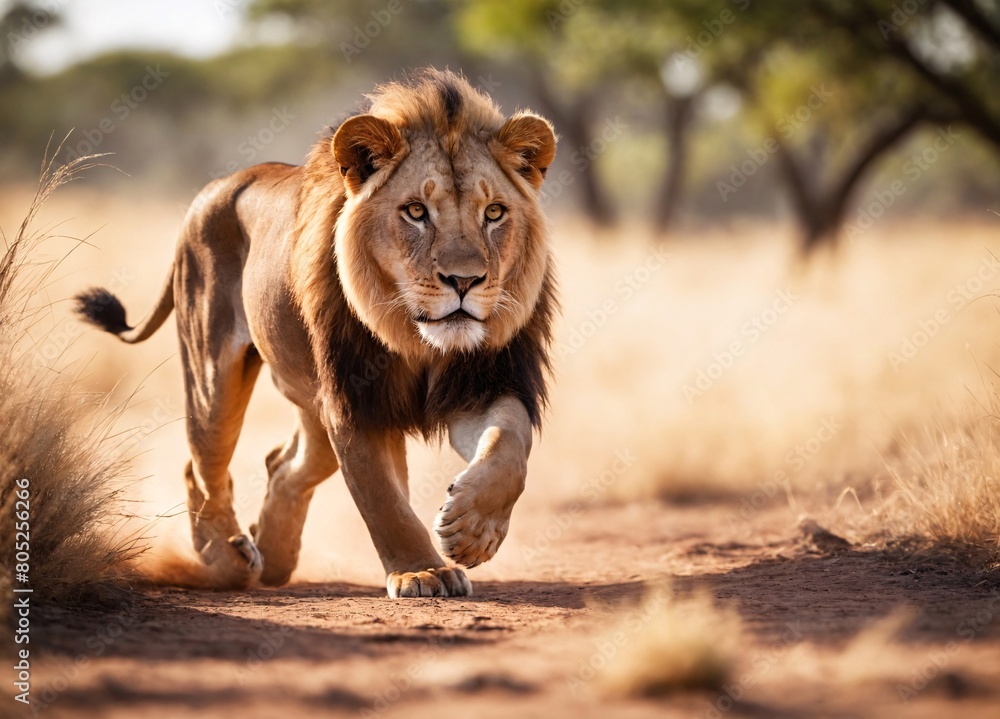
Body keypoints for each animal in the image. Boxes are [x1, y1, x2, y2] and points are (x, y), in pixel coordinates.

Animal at [74, 68, 558, 598]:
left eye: (493, 213)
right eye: (415, 211)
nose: (465, 281)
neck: (416, 340)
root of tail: (217, 186)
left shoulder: (484, 383)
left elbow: (508, 446)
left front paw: (472, 531)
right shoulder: (353, 400)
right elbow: (383, 498)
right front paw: (421, 571)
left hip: (308, 399)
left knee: (285, 465)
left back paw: (273, 554)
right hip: (212, 375)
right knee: (202, 466)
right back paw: (227, 559)